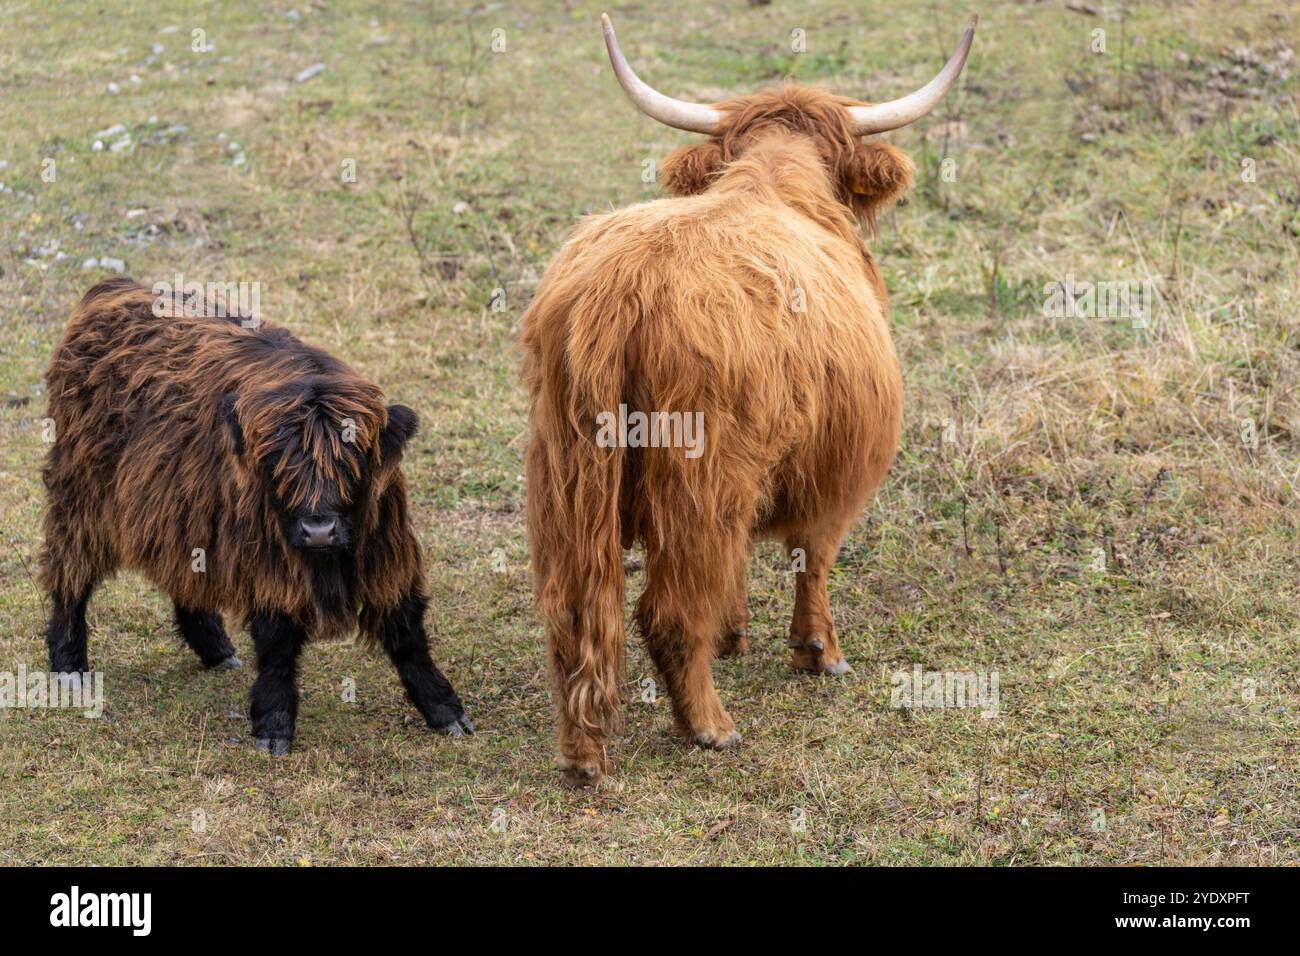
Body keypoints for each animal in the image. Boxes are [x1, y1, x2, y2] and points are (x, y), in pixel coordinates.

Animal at [40, 278, 473, 751]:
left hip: (182, 510)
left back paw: (215, 649)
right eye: (277, 463)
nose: (318, 529)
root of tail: (111, 290)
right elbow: (278, 642)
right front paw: (274, 726)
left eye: (354, 458)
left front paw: (445, 711)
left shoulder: (386, 555)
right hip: (80, 499)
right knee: (70, 574)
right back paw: (69, 666)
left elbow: (408, 633)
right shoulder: (270, 564)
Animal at [521, 14, 977, 785]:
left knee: (578, 607)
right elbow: (812, 555)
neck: (777, 180)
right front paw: (819, 652)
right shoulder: (837, 465)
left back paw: (584, 754)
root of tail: (622, 287)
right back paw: (710, 726)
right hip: (699, 474)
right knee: (667, 609)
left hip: (567, 471)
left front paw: (733, 634)